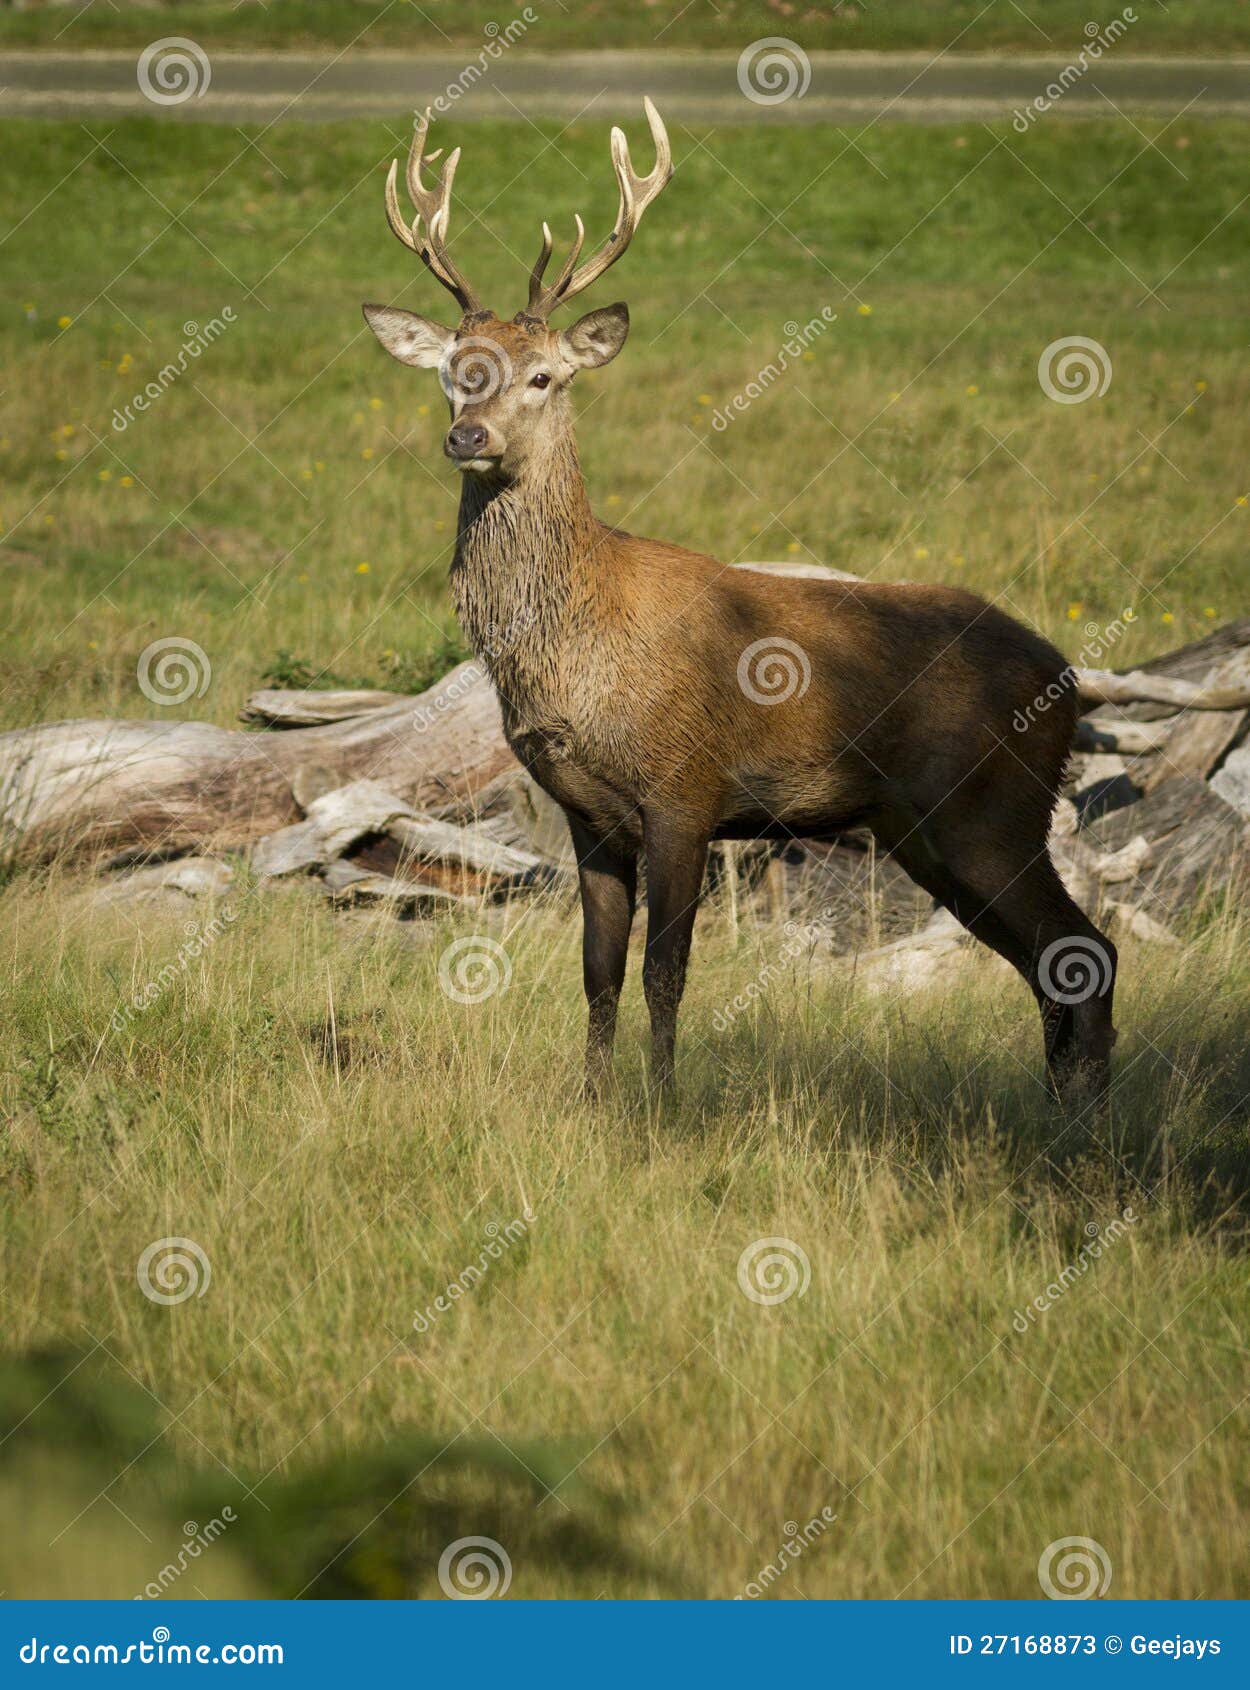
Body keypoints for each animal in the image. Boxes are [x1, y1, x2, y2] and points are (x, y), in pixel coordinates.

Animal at [363, 99, 1118, 1107]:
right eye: (453, 370)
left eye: (543, 376)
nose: (468, 436)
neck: (577, 653)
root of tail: (1067, 679)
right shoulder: (586, 816)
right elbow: (597, 970)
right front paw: (594, 1102)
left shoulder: (685, 787)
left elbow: (665, 969)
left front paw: (661, 1107)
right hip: (927, 830)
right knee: (1053, 964)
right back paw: (1064, 1108)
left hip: (992, 807)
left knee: (1086, 949)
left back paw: (1088, 1117)